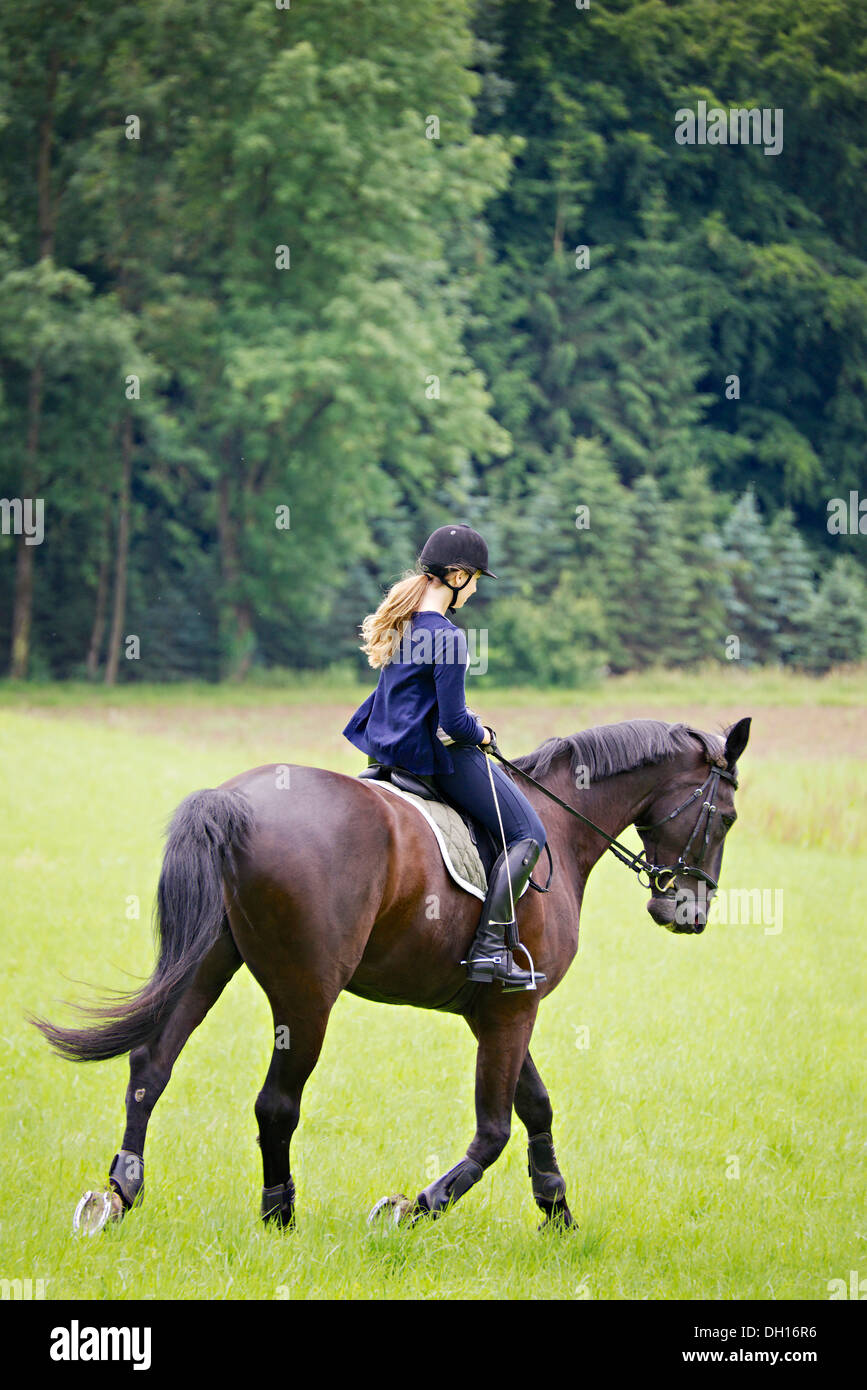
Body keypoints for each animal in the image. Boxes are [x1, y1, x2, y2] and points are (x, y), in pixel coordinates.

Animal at [32, 715, 750, 1232]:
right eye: (726, 817)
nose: (688, 913)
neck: (557, 823)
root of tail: (232, 801)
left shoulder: (498, 1007)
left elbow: (535, 1107)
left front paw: (557, 1212)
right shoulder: (513, 1009)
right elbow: (494, 1128)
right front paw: (414, 1206)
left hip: (208, 962)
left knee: (151, 1064)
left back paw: (121, 1191)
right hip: (306, 994)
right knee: (275, 1102)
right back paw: (279, 1215)